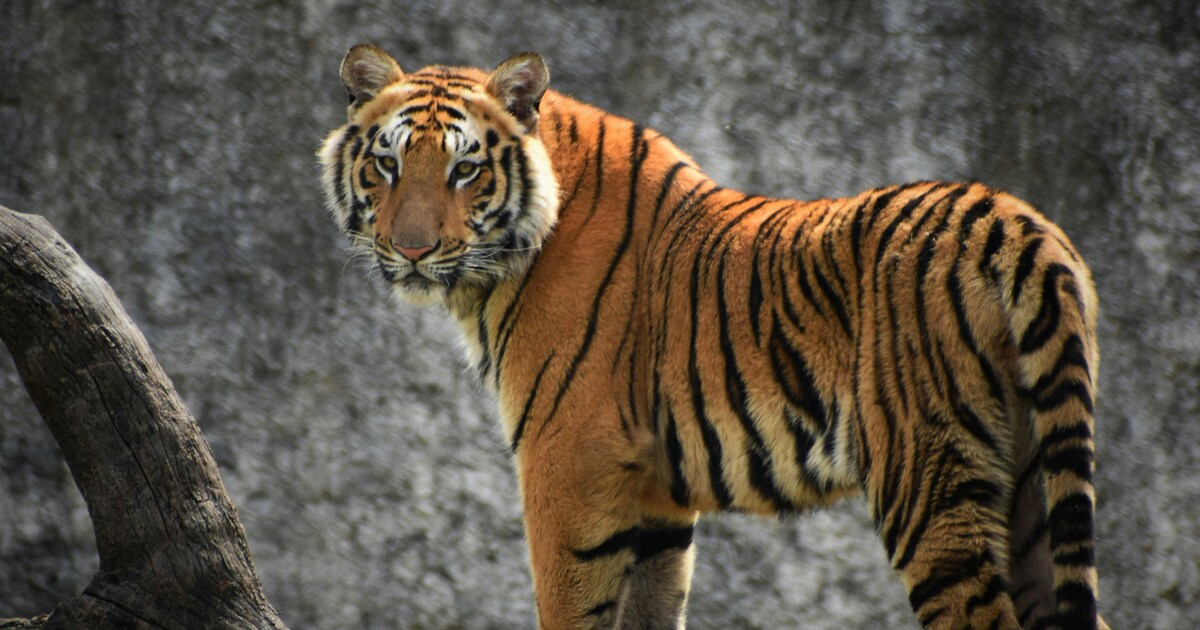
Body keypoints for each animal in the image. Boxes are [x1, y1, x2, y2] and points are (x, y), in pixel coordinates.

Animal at [319, 44, 1109, 630]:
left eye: (465, 168)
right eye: (387, 163)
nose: (412, 250)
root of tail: (1015, 222)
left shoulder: (565, 460)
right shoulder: (656, 497)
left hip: (930, 481)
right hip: (1034, 483)